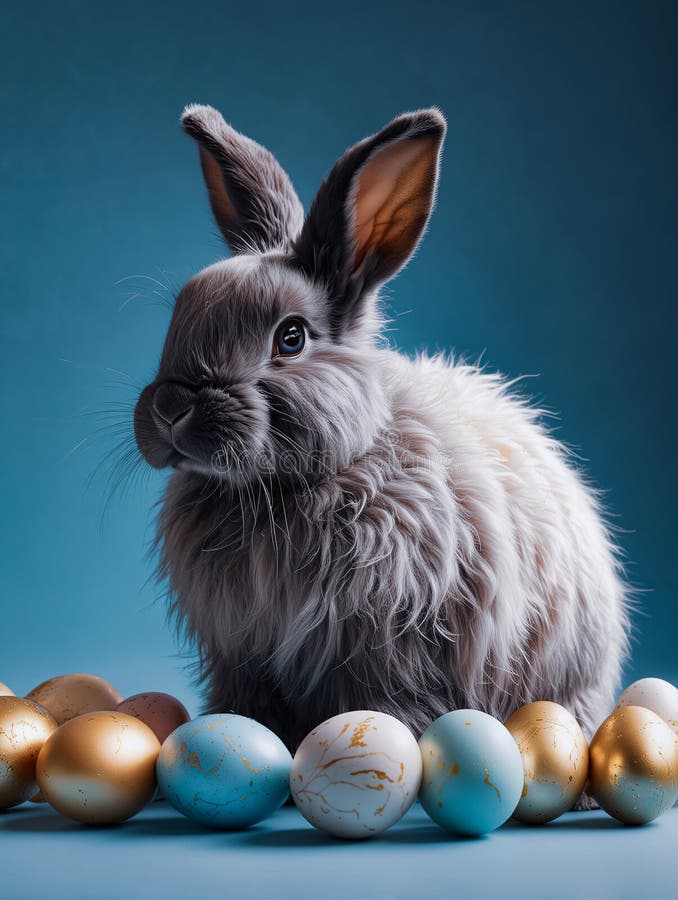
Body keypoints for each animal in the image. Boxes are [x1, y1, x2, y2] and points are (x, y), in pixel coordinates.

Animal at [134, 103, 629, 760]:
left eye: (291, 337)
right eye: (178, 316)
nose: (169, 407)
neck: (300, 480)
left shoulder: (391, 653)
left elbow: (388, 708)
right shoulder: (241, 657)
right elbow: (245, 707)